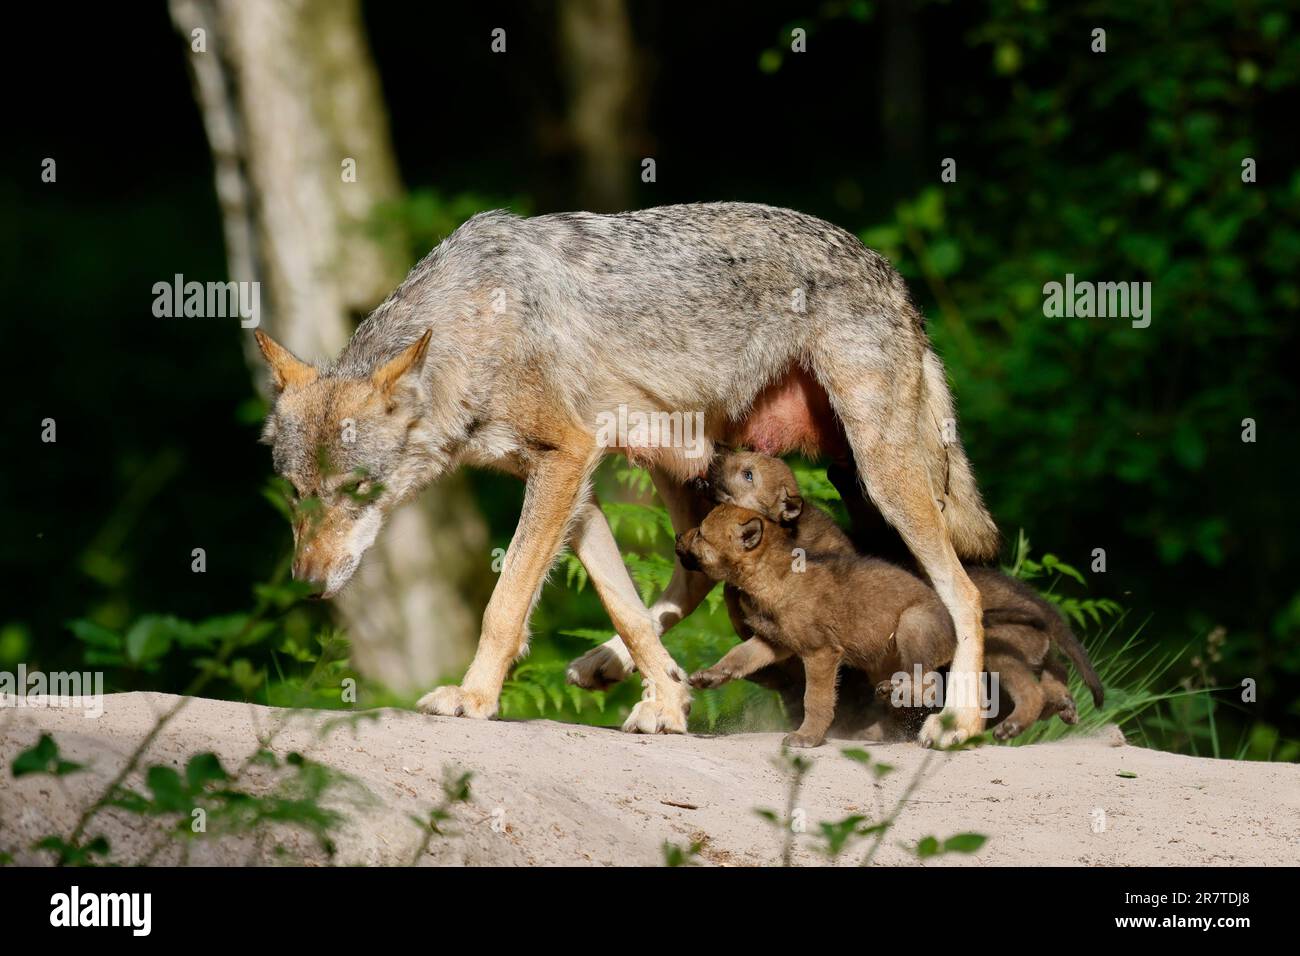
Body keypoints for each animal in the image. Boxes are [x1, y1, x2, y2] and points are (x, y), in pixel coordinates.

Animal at [253, 202, 999, 744]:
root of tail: (891, 273)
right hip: (693, 465)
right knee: (694, 576)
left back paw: (959, 722)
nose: (308, 584)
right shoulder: (574, 485)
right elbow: (623, 605)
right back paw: (612, 665)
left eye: (358, 491)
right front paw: (667, 702)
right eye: (295, 495)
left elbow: (504, 604)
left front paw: (473, 697)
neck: (474, 326)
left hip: (881, 480)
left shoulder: (564, 461)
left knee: (966, 592)